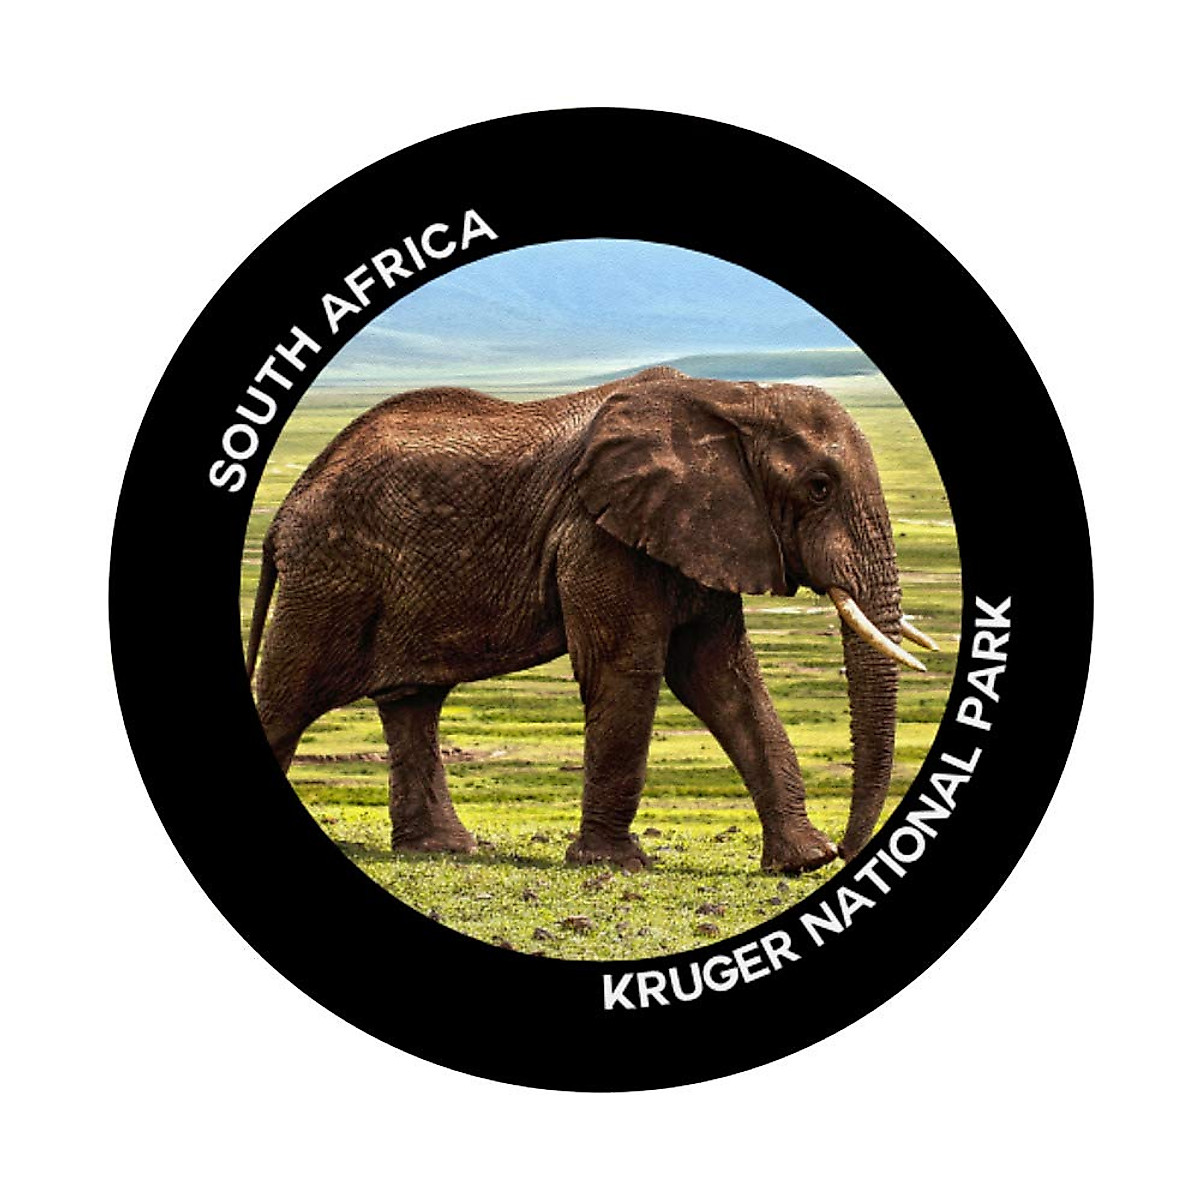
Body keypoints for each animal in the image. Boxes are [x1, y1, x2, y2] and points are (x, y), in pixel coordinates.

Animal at [246, 367, 934, 873]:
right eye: (819, 486)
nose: (847, 851)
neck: (731, 397)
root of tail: (286, 508)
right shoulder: (598, 534)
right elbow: (628, 669)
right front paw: (613, 864)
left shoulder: (702, 530)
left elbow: (723, 678)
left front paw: (801, 863)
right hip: (330, 574)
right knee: (290, 694)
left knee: (413, 701)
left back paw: (442, 850)